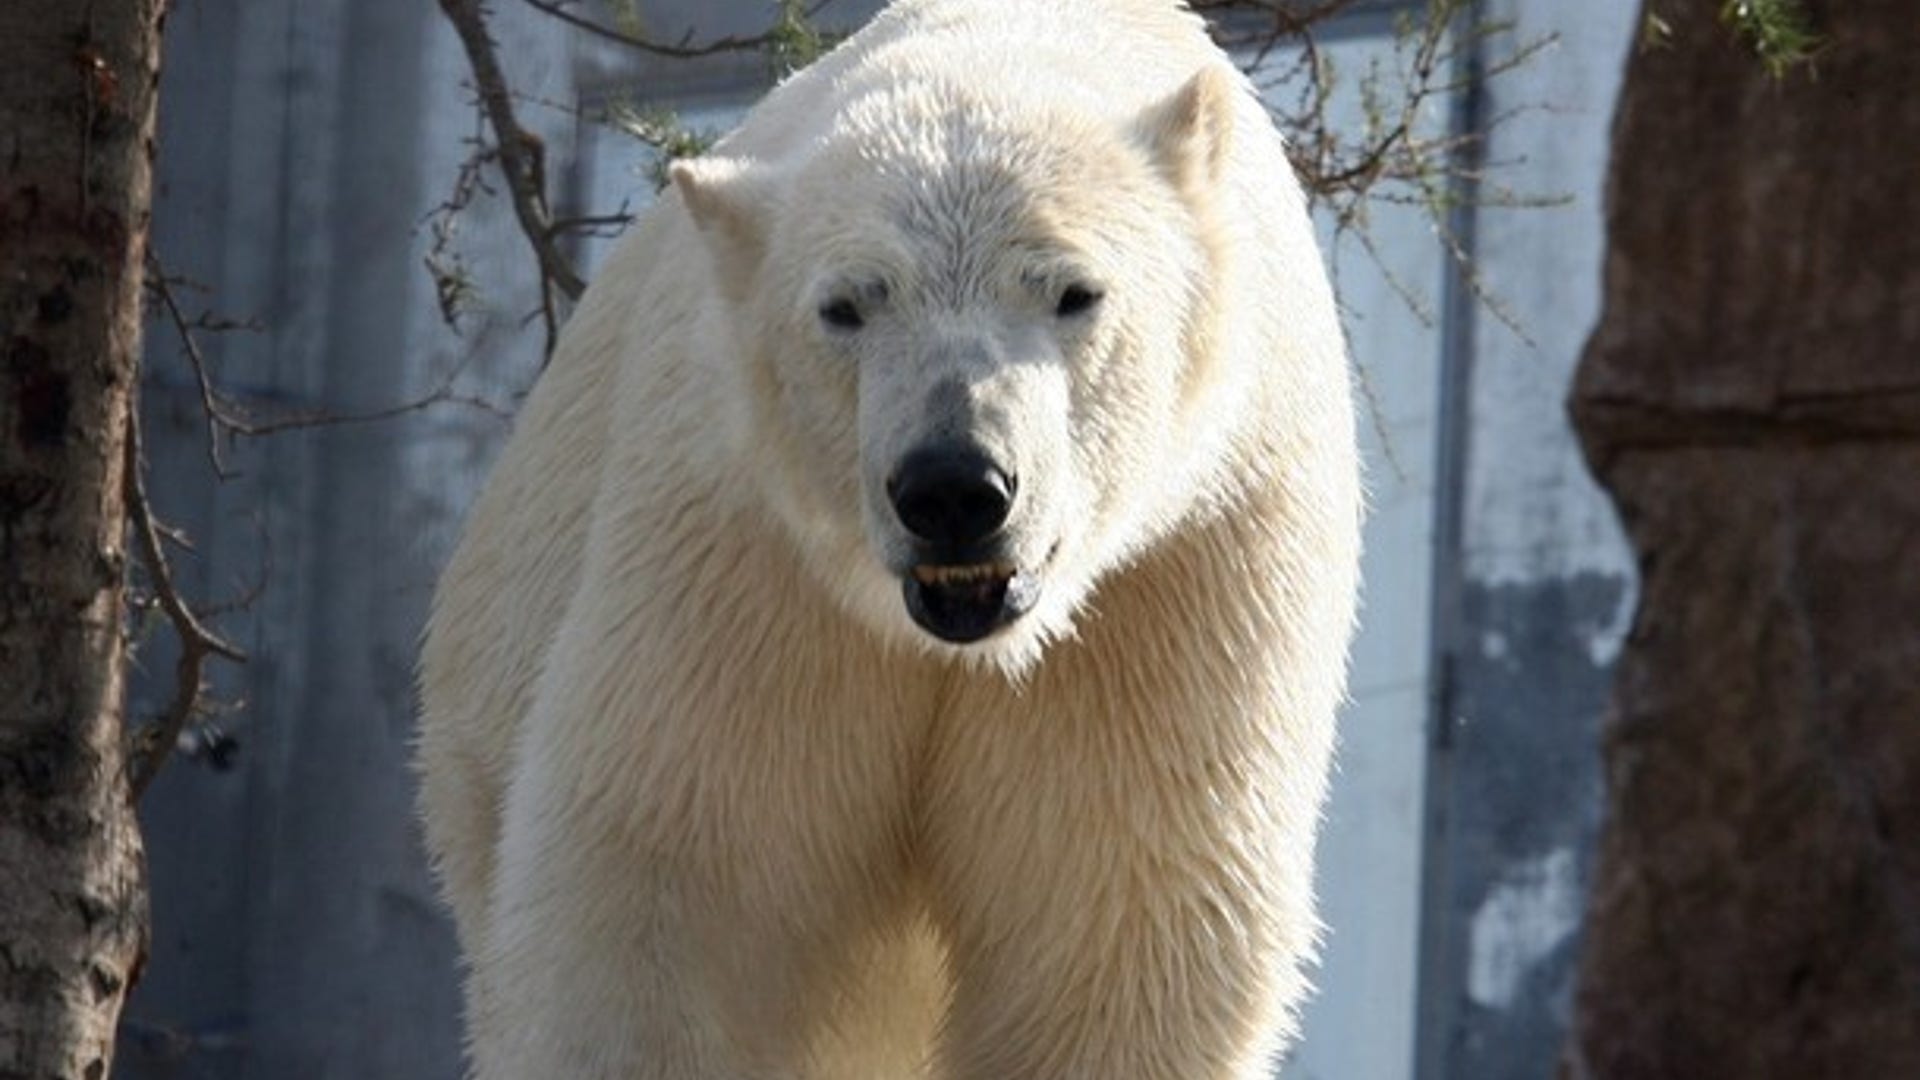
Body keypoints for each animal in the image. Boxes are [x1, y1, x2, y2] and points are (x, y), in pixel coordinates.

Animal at [415, 0, 1361, 1076]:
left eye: (1075, 290)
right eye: (847, 305)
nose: (953, 487)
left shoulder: (1179, 569)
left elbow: (1111, 908)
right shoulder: (743, 556)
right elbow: (679, 876)